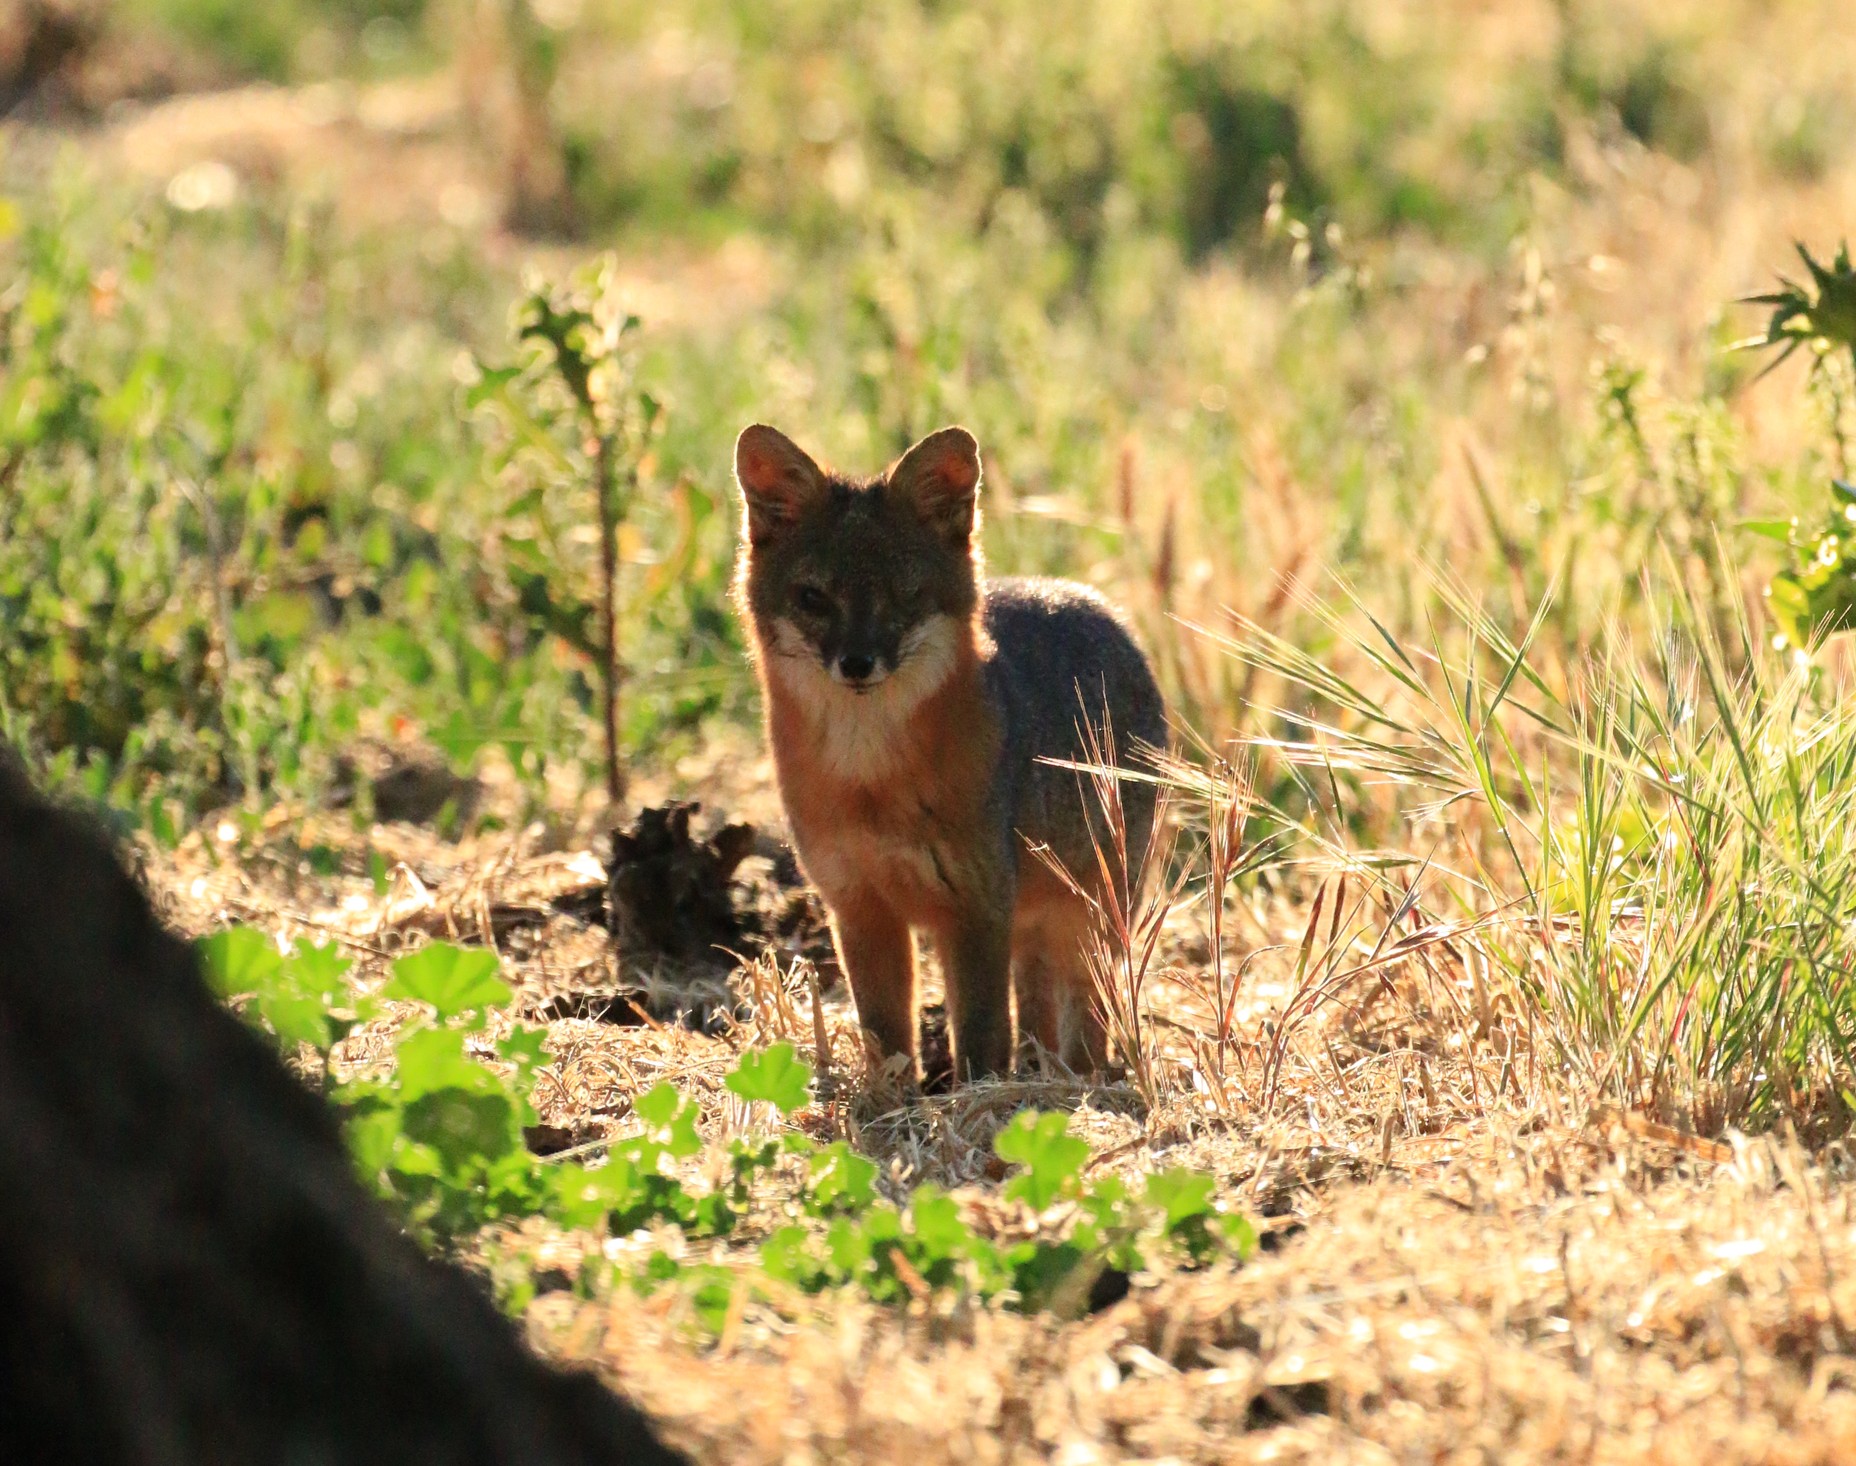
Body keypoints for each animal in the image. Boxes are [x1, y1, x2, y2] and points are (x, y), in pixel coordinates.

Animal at [734, 422, 1167, 1083]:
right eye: (812, 598)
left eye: (906, 596)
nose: (857, 663)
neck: (870, 783)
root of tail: (1095, 604)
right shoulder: (860, 908)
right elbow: (885, 1034)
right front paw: (888, 1100)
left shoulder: (976, 906)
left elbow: (983, 1035)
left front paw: (981, 1097)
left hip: (1089, 918)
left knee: (1086, 1022)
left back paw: (1077, 1082)